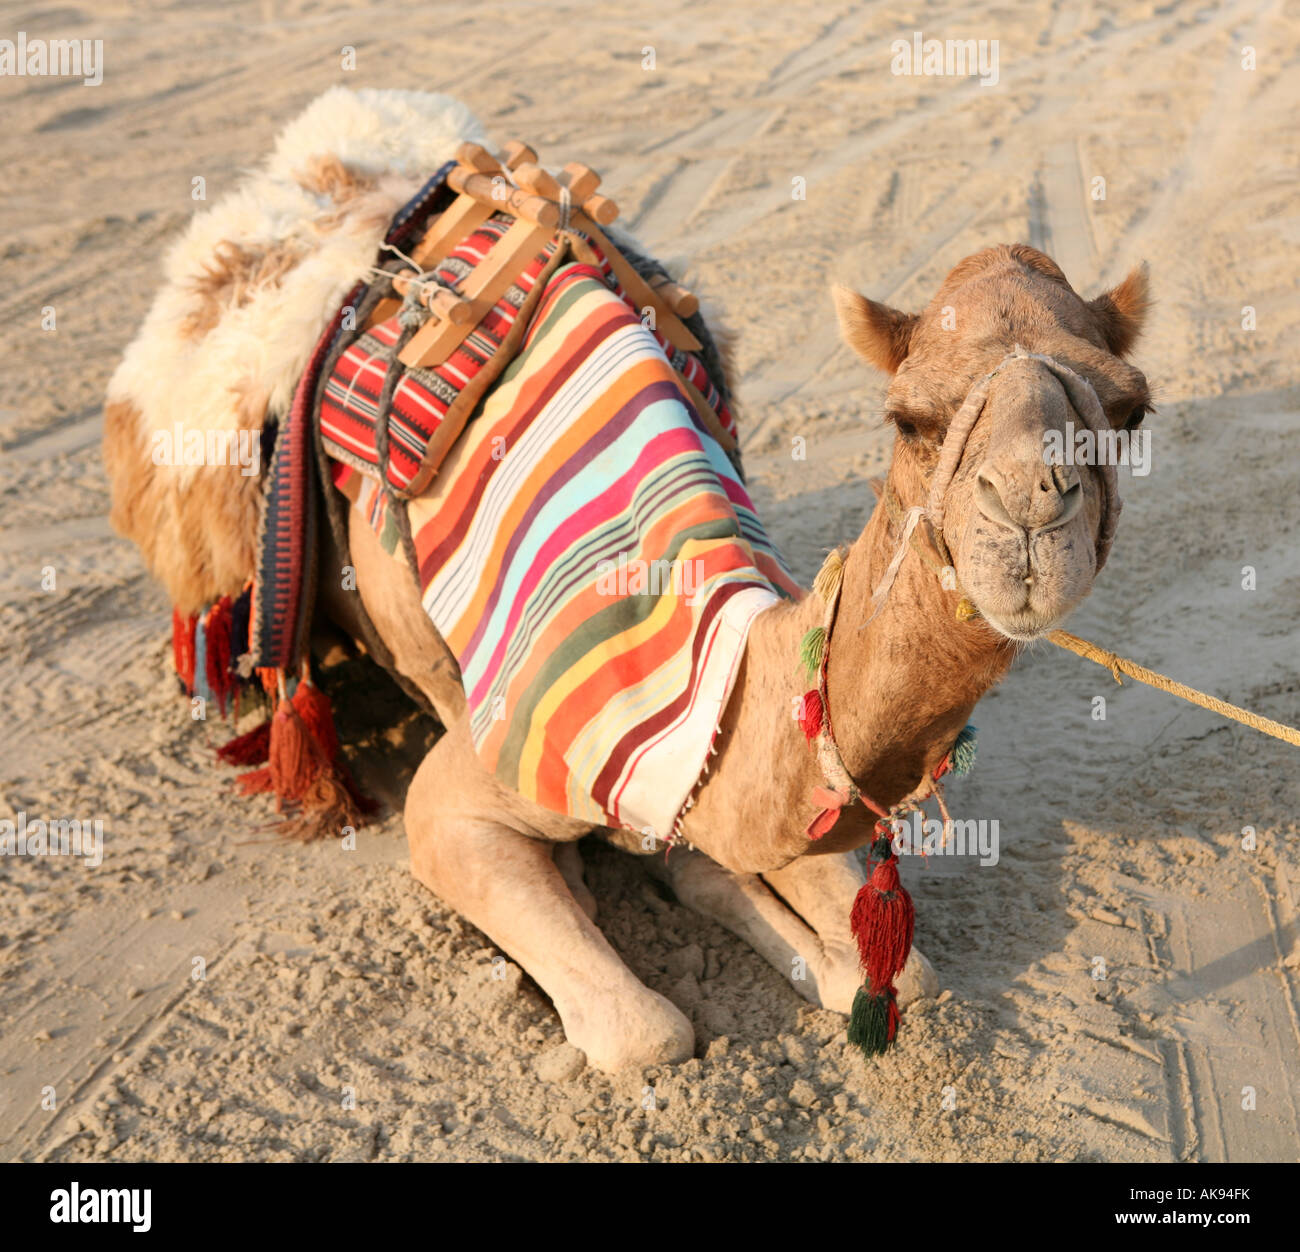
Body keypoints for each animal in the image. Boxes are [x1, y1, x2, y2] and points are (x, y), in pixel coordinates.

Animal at [103, 89, 1152, 1074]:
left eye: (1130, 411)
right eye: (910, 419)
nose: (1030, 512)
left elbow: (888, 960)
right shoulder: (473, 778)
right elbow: (645, 1032)